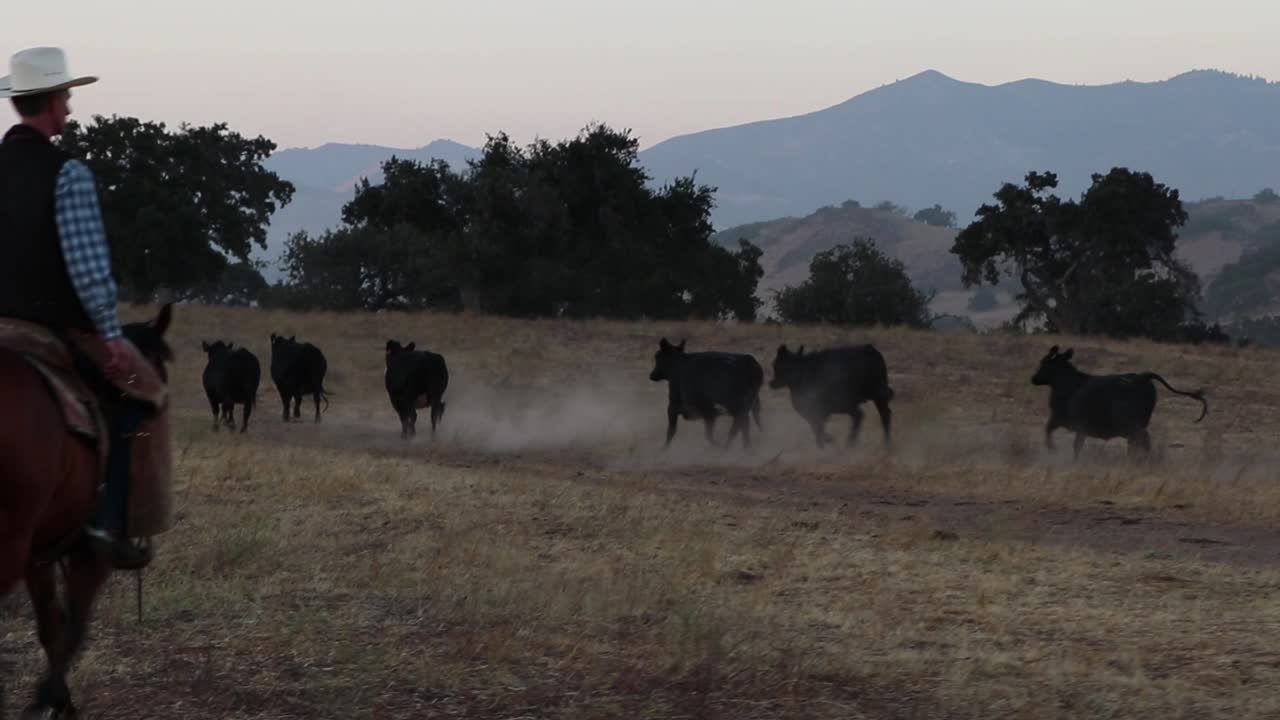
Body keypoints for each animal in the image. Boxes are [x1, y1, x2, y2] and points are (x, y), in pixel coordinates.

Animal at [0, 303, 173, 720]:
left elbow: (52, 625)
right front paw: (49, 700)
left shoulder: (40, 551)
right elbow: (74, 625)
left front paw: (56, 699)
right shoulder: (90, 553)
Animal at [1031, 345, 1208, 458]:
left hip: (1133, 424)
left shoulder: (1068, 421)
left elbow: (1055, 434)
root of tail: (1143, 376)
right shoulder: (1068, 423)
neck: (1068, 384)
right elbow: (1063, 438)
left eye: (1045, 363)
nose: (1034, 378)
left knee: (1142, 441)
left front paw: (1053, 449)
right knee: (1137, 442)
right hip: (1136, 425)